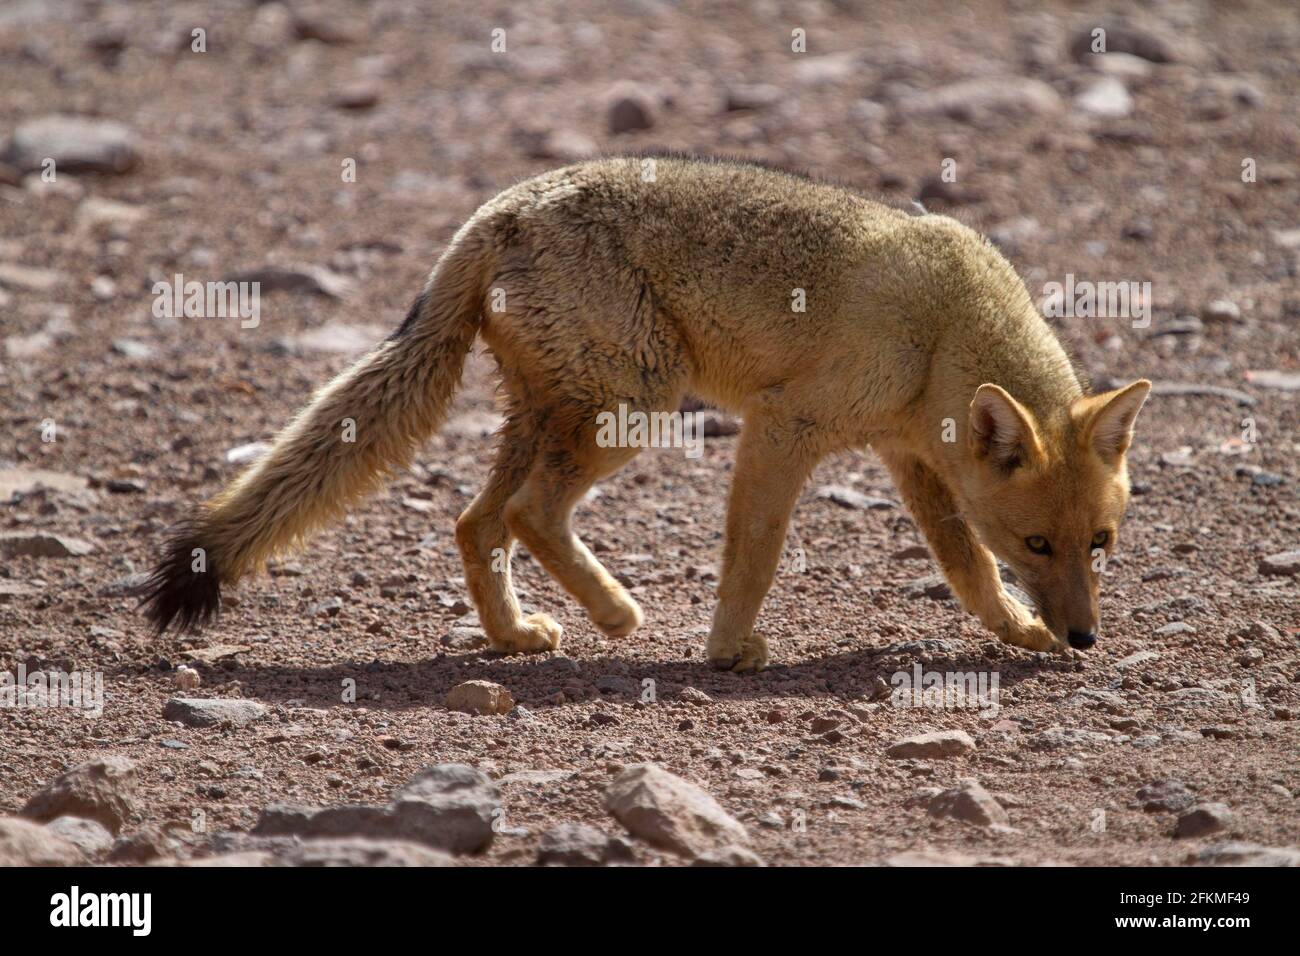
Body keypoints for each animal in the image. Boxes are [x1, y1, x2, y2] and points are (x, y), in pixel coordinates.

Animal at [136, 155, 1151, 671]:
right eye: (1038, 543)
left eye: (1098, 544)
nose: (1085, 636)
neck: (945, 323)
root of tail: (498, 208)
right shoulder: (783, 428)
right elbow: (756, 556)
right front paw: (728, 652)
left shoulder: (909, 458)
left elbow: (962, 567)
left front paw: (1015, 632)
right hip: (640, 404)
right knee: (524, 514)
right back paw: (618, 617)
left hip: (558, 414)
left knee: (477, 521)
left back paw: (516, 636)